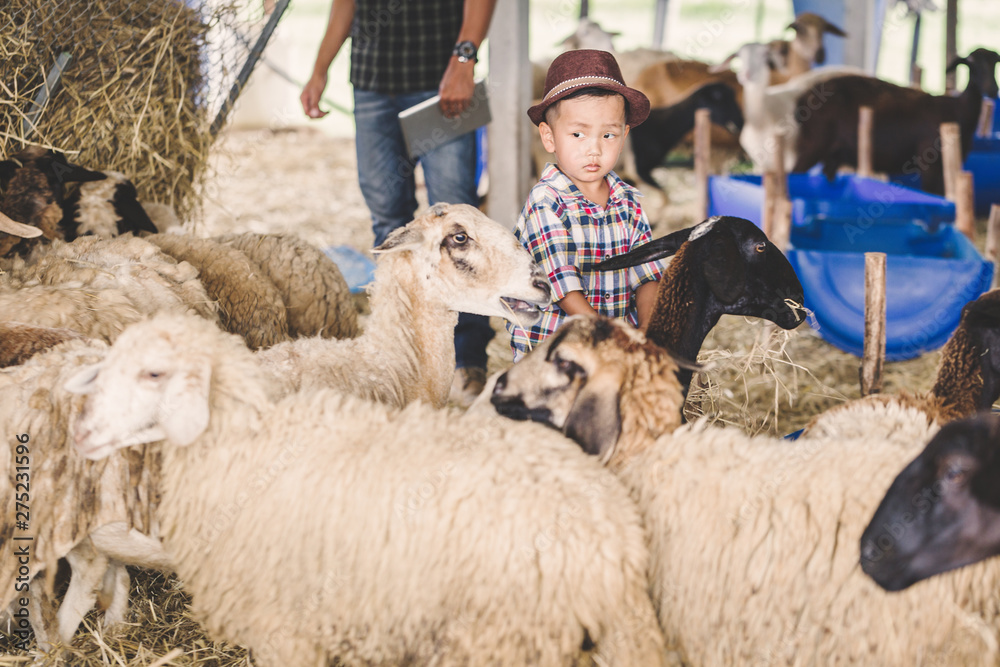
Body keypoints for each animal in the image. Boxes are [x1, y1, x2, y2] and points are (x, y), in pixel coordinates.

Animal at [67, 312, 669, 667]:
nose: (83, 432)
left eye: (153, 374)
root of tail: (612, 533)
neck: (244, 443)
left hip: (495, 637)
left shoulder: (284, 625)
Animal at [792, 47, 1000, 193]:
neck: (958, 111)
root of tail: (802, 98)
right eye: (972, 63)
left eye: (995, 63)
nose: (992, 90)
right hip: (813, 145)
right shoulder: (929, 165)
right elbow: (931, 193)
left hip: (834, 154)